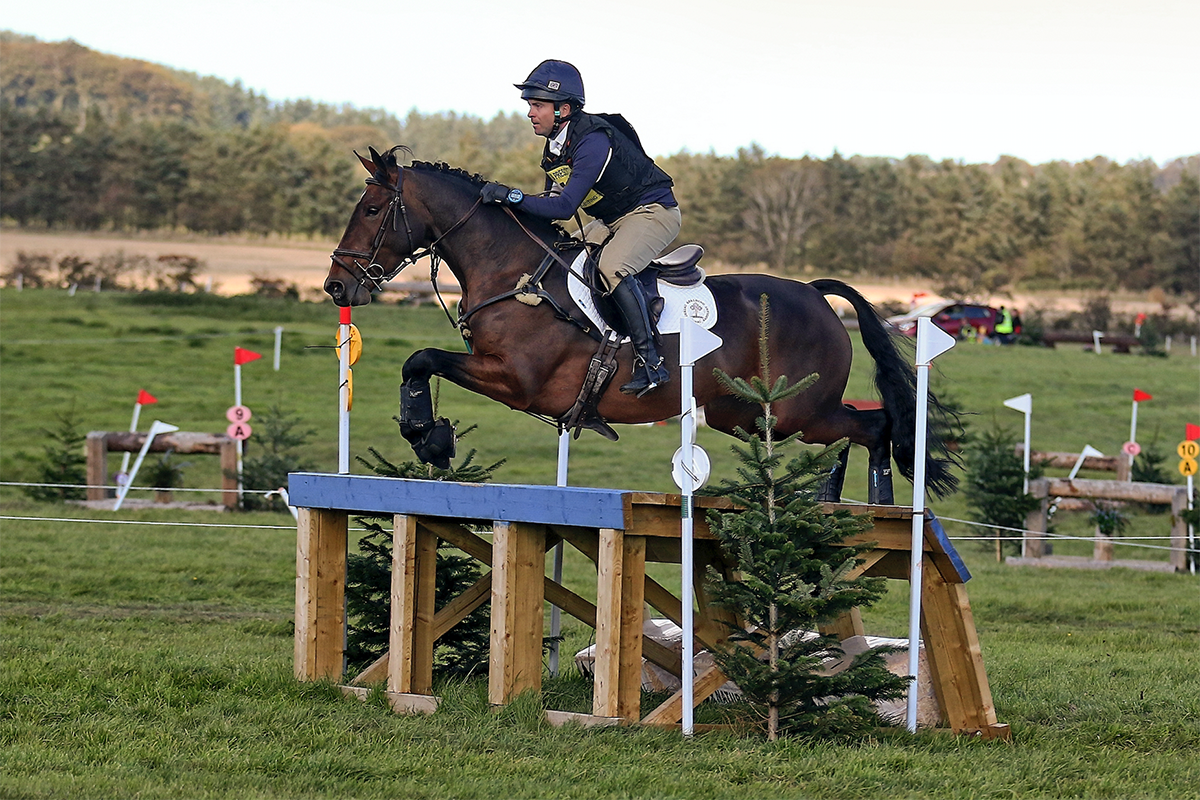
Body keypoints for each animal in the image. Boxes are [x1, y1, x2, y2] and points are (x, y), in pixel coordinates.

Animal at [324, 146, 958, 504]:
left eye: (373, 210)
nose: (336, 287)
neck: (516, 272)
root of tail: (812, 293)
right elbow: (421, 361)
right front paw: (427, 433)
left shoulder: (516, 379)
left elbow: (422, 359)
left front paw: (427, 435)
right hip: (743, 413)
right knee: (857, 430)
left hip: (795, 409)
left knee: (872, 426)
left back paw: (871, 505)